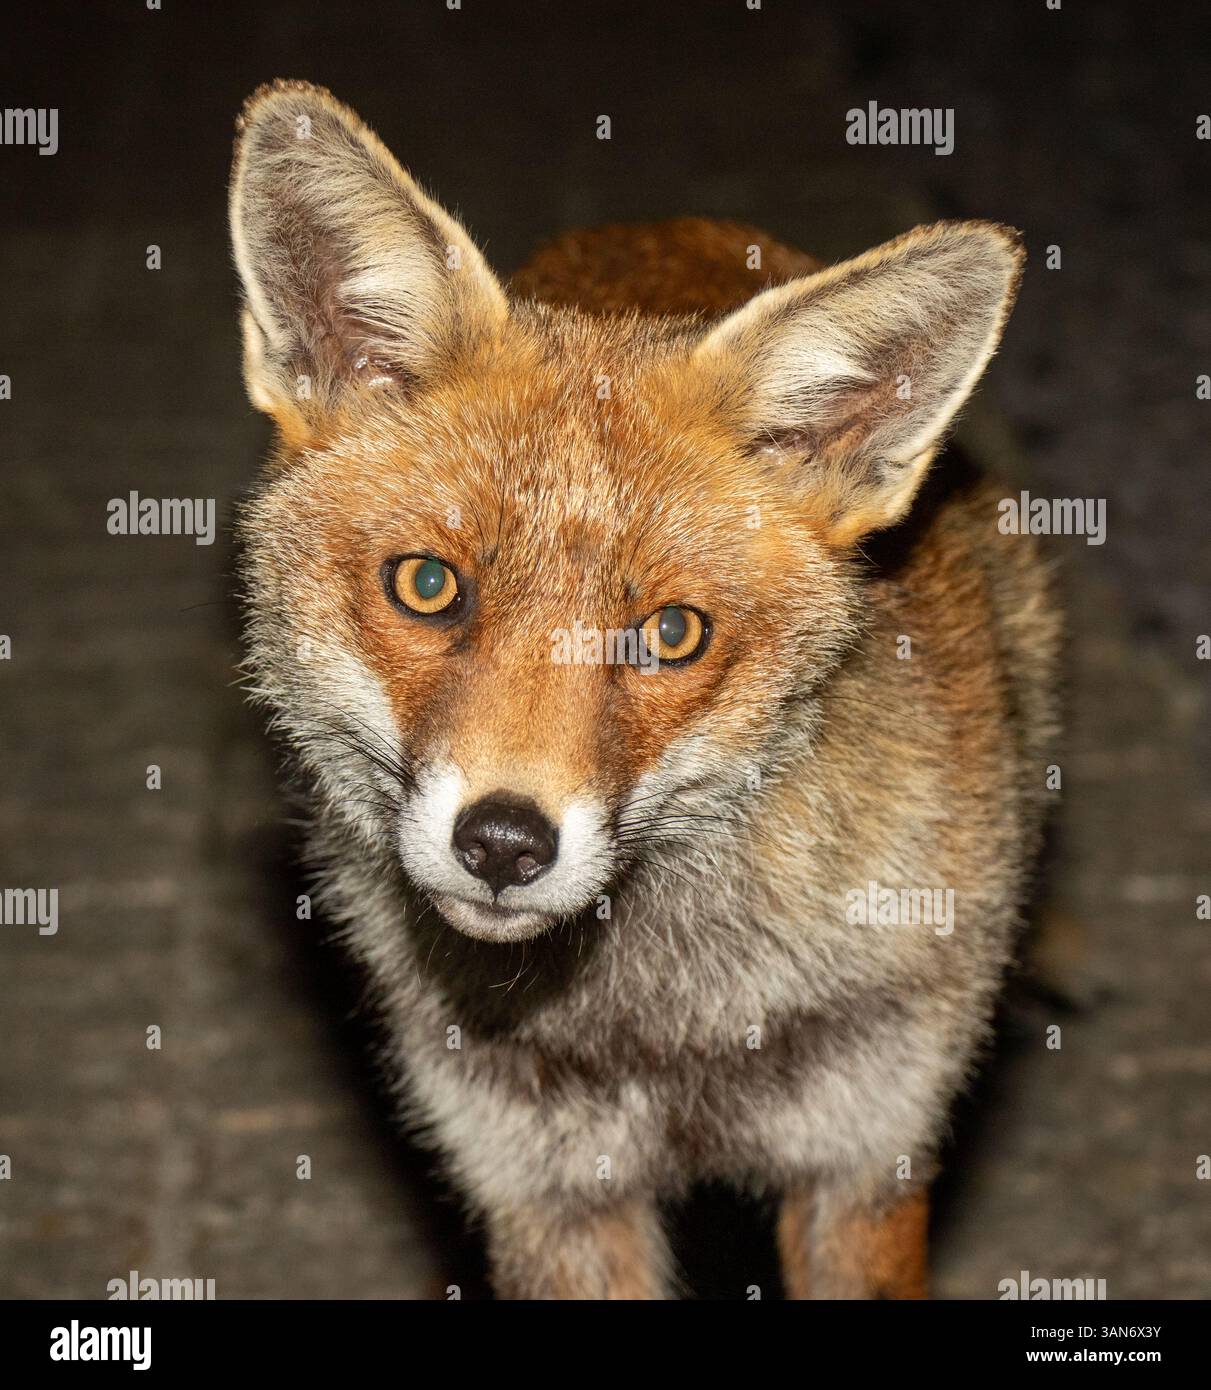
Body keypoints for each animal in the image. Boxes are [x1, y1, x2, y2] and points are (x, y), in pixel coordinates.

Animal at [230, 80, 1060, 1299]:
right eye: (427, 585)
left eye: (670, 633)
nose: (504, 843)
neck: (666, 1027)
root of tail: (657, 223)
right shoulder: (547, 1193)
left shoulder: (866, 1157)